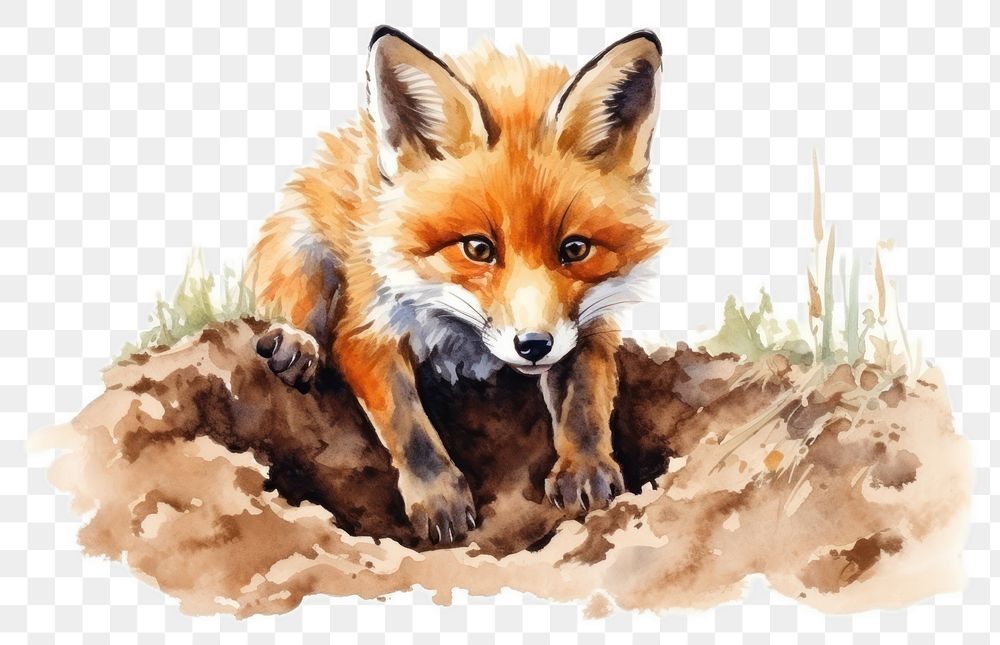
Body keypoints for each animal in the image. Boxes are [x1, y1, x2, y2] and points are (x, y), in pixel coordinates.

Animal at [247, 26, 666, 545]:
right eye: (477, 248)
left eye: (574, 249)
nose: (534, 345)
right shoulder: (368, 327)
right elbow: (411, 428)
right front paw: (438, 497)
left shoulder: (587, 327)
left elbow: (584, 404)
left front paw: (585, 467)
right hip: (302, 244)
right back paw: (295, 341)